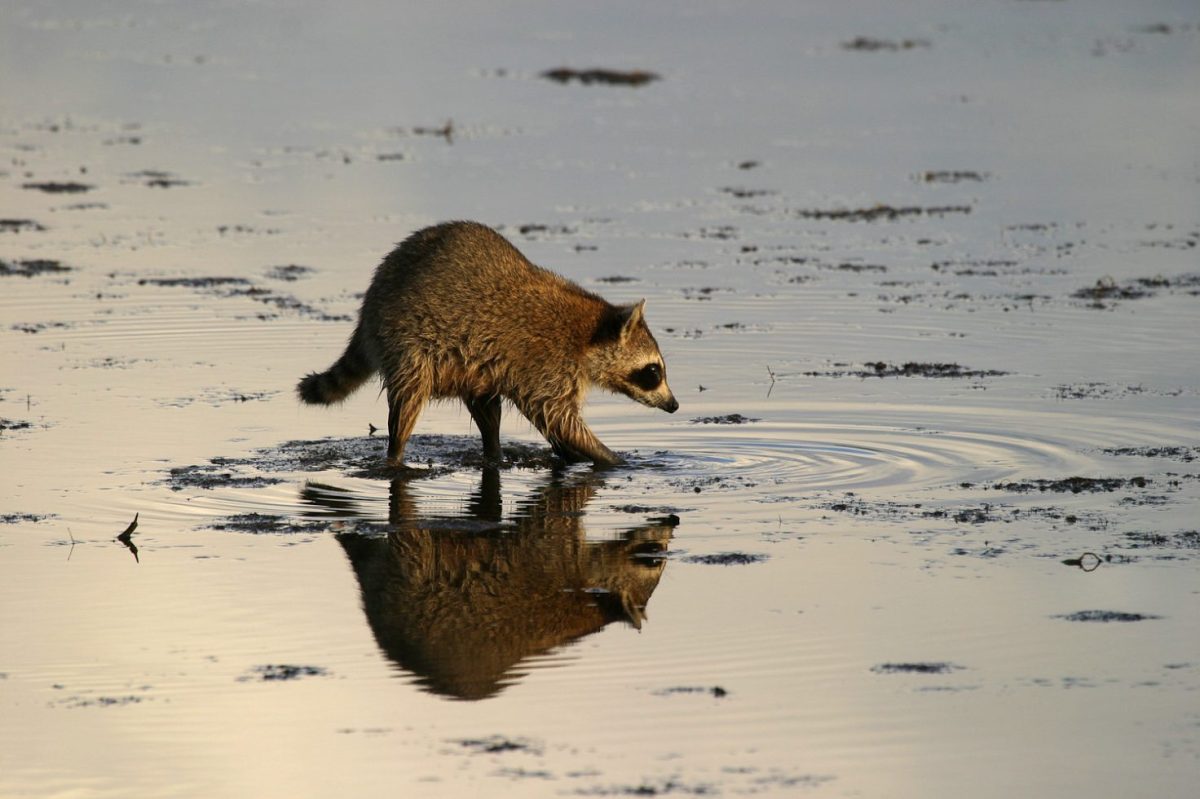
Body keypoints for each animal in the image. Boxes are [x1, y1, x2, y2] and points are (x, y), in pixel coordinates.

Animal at [297, 221, 677, 466]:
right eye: (653, 372)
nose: (674, 405)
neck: (587, 333)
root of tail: (370, 305)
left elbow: (555, 426)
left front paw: (573, 454)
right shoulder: (548, 366)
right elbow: (559, 419)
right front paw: (612, 458)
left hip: (473, 367)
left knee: (486, 408)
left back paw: (494, 454)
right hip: (408, 343)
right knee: (408, 400)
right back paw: (395, 456)